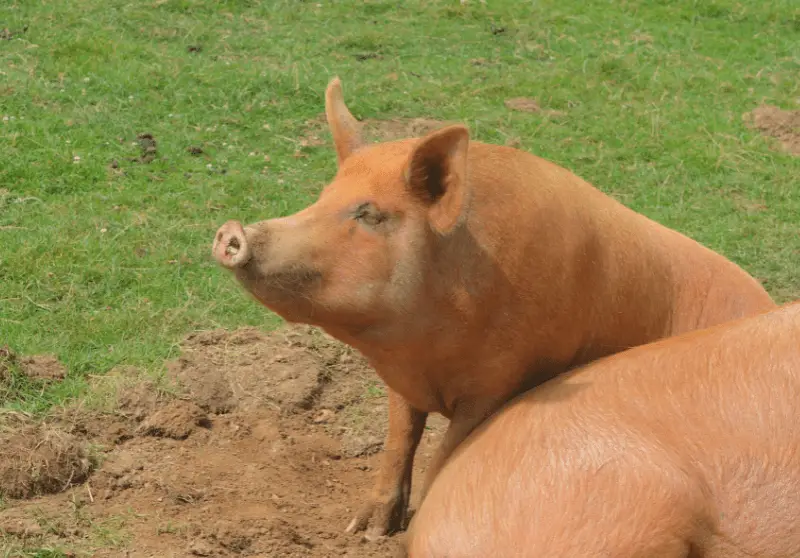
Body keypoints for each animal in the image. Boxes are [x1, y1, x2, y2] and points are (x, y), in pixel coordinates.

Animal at [211, 77, 776, 539]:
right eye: (322, 196)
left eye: (370, 213)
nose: (232, 232)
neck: (424, 350)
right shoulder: (403, 381)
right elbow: (399, 441)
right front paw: (363, 531)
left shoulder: (500, 381)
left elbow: (446, 457)